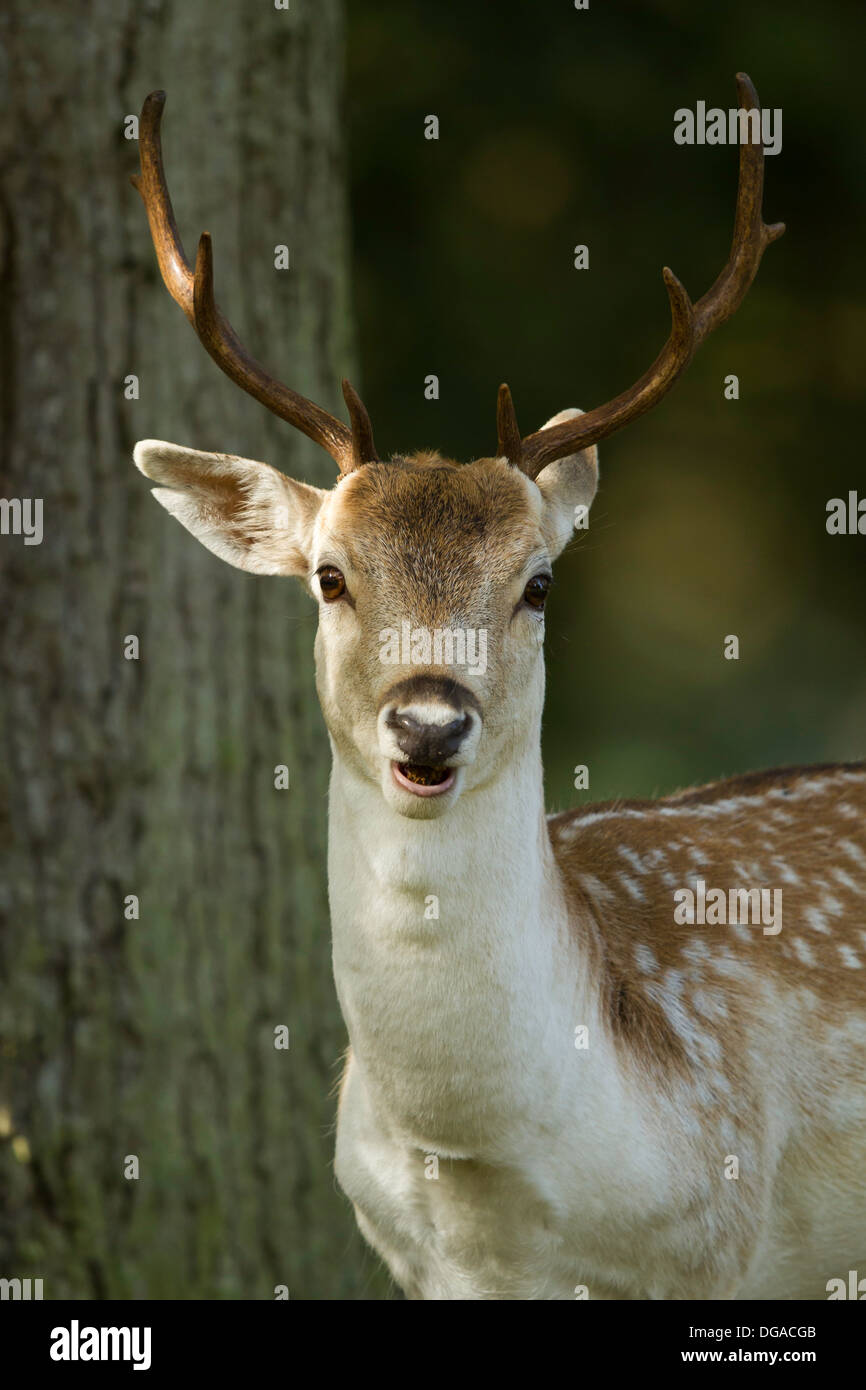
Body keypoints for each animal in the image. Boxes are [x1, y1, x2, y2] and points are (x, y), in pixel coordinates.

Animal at [131, 75, 866, 1300]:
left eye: (538, 583)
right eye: (330, 575)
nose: (428, 725)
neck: (482, 1172)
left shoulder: (717, 1240)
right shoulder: (418, 1261)